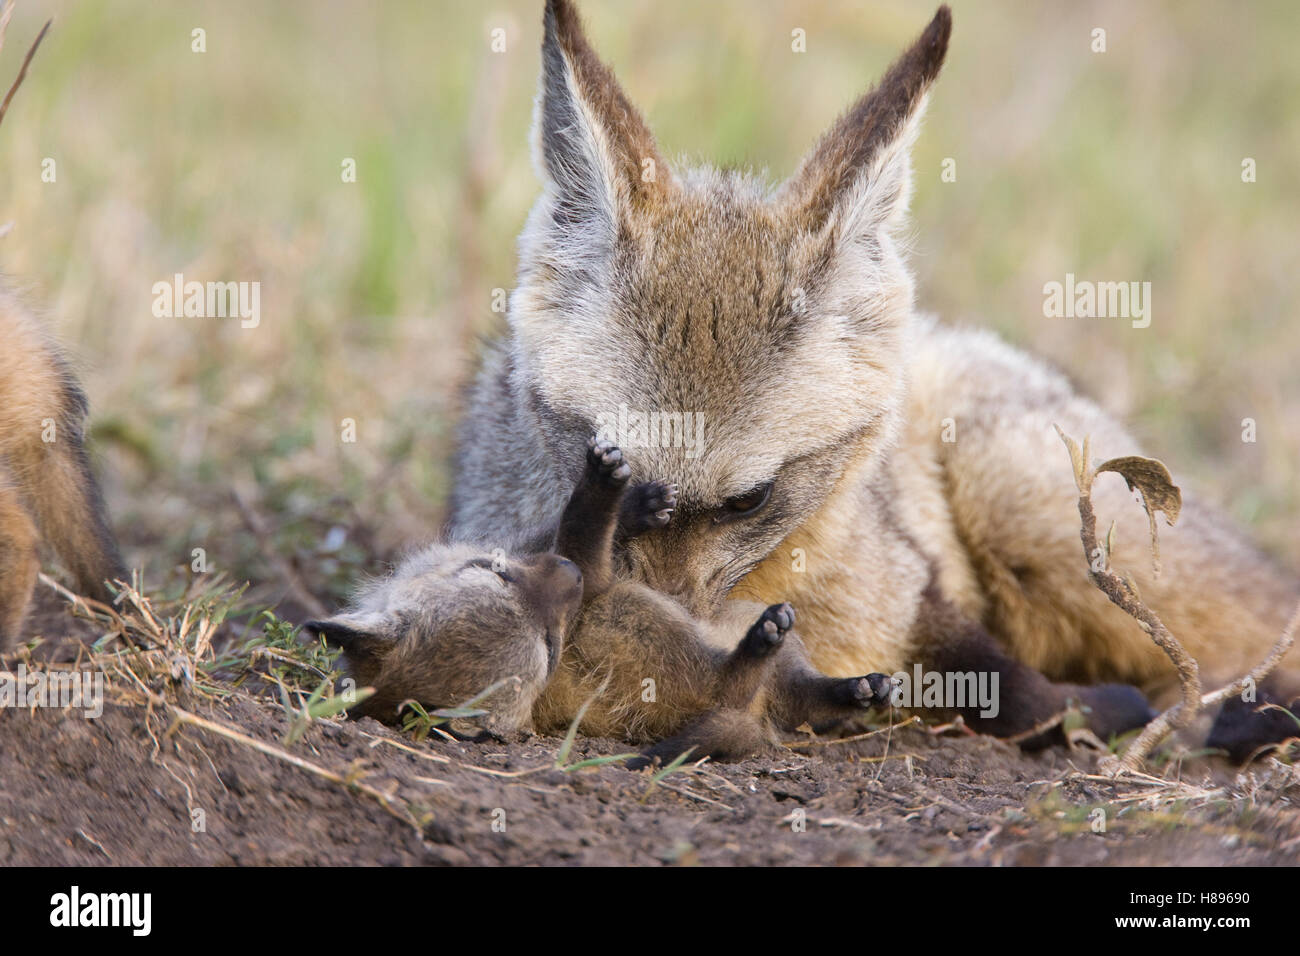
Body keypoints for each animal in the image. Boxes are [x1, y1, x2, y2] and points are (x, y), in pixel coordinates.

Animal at [306, 438, 902, 765]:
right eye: (547, 649)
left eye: (490, 570)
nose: (565, 575)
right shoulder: (592, 581)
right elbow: (583, 530)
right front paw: (605, 488)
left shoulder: (531, 548)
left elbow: (565, 530)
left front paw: (637, 502)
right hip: (668, 646)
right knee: (741, 687)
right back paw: (760, 649)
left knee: (800, 699)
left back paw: (856, 689)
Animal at [446, 1, 1300, 760]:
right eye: (608, 468)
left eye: (750, 499)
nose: (654, 613)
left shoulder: (921, 595)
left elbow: (1009, 687)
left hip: (1023, 502)